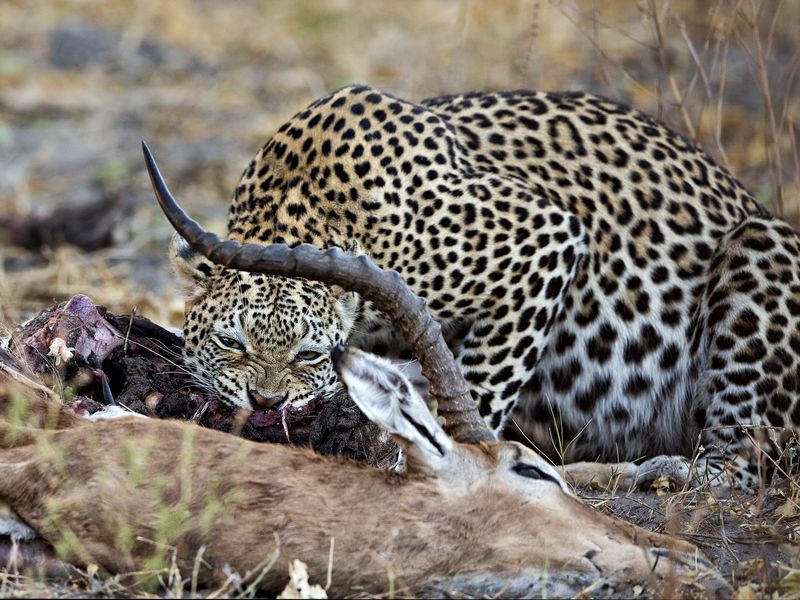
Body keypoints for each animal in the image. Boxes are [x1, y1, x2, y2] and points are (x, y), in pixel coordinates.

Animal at [170, 84, 800, 486]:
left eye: (309, 354)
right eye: (230, 343)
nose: (265, 403)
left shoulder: (543, 243)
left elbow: (479, 386)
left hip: (760, 242)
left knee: (745, 464)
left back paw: (659, 473)